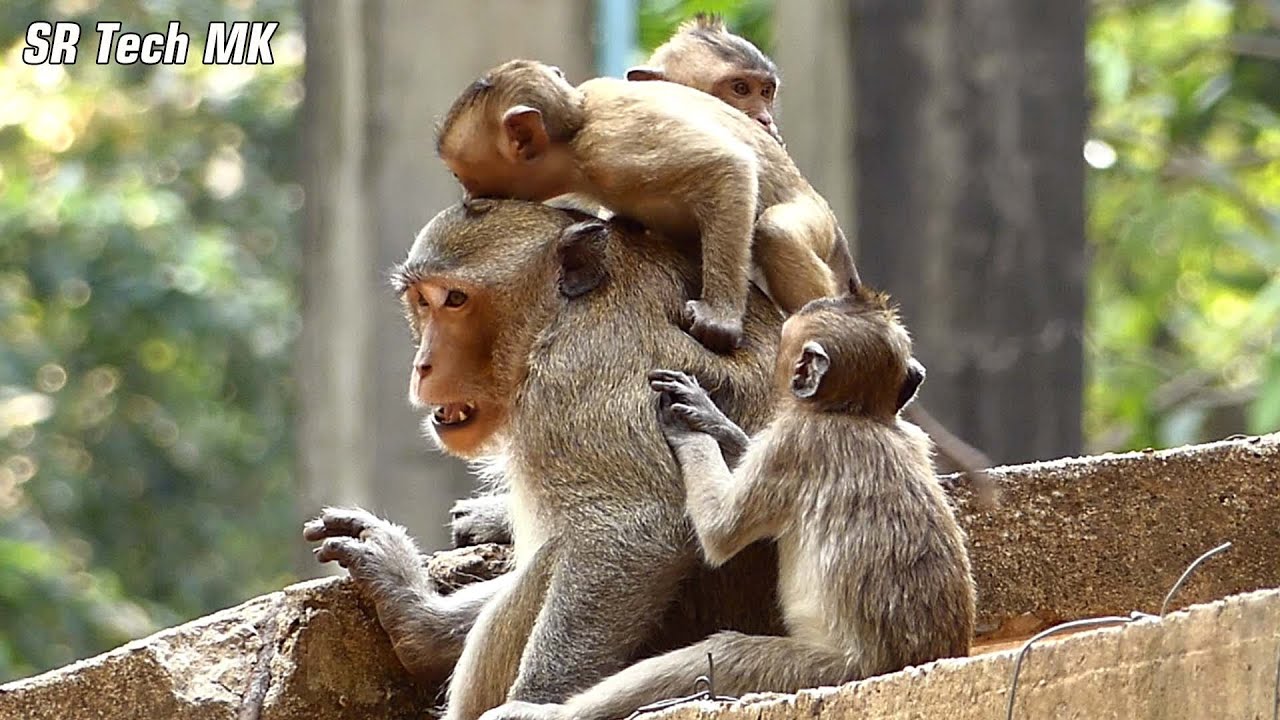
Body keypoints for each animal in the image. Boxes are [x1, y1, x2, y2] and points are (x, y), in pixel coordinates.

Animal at [306, 199, 790, 719]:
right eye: (422, 301)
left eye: (456, 300)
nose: (423, 365)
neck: (559, 318)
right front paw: (414, 605)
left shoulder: (578, 376)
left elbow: (633, 533)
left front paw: (531, 702)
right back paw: (421, 625)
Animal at [436, 59, 860, 353]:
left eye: (460, 174)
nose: (467, 195)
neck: (574, 137)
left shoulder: (613, 146)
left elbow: (728, 168)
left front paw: (719, 317)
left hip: (818, 224)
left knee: (777, 231)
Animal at [476, 285, 975, 720]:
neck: (858, 415)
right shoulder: (910, 437)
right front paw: (715, 422)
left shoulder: (791, 445)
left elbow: (720, 534)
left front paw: (693, 424)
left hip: (829, 670)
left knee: (725, 654)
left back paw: (547, 711)